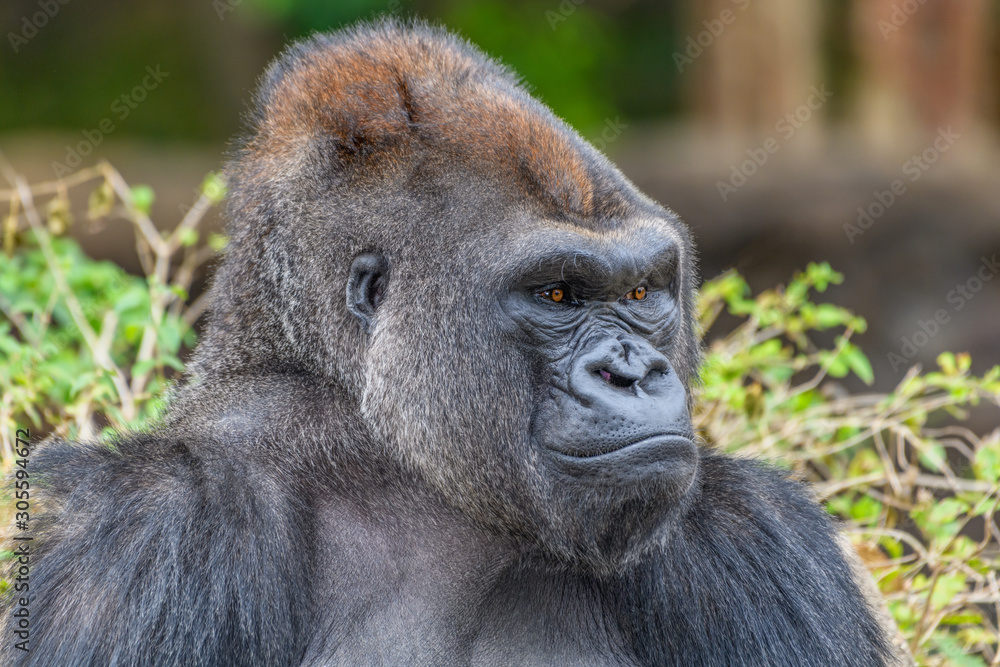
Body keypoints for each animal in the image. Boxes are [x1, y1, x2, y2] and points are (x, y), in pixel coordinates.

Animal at [2, 18, 905, 666]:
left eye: (642, 293)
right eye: (556, 294)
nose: (634, 371)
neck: (390, 457)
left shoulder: (754, 532)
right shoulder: (148, 523)